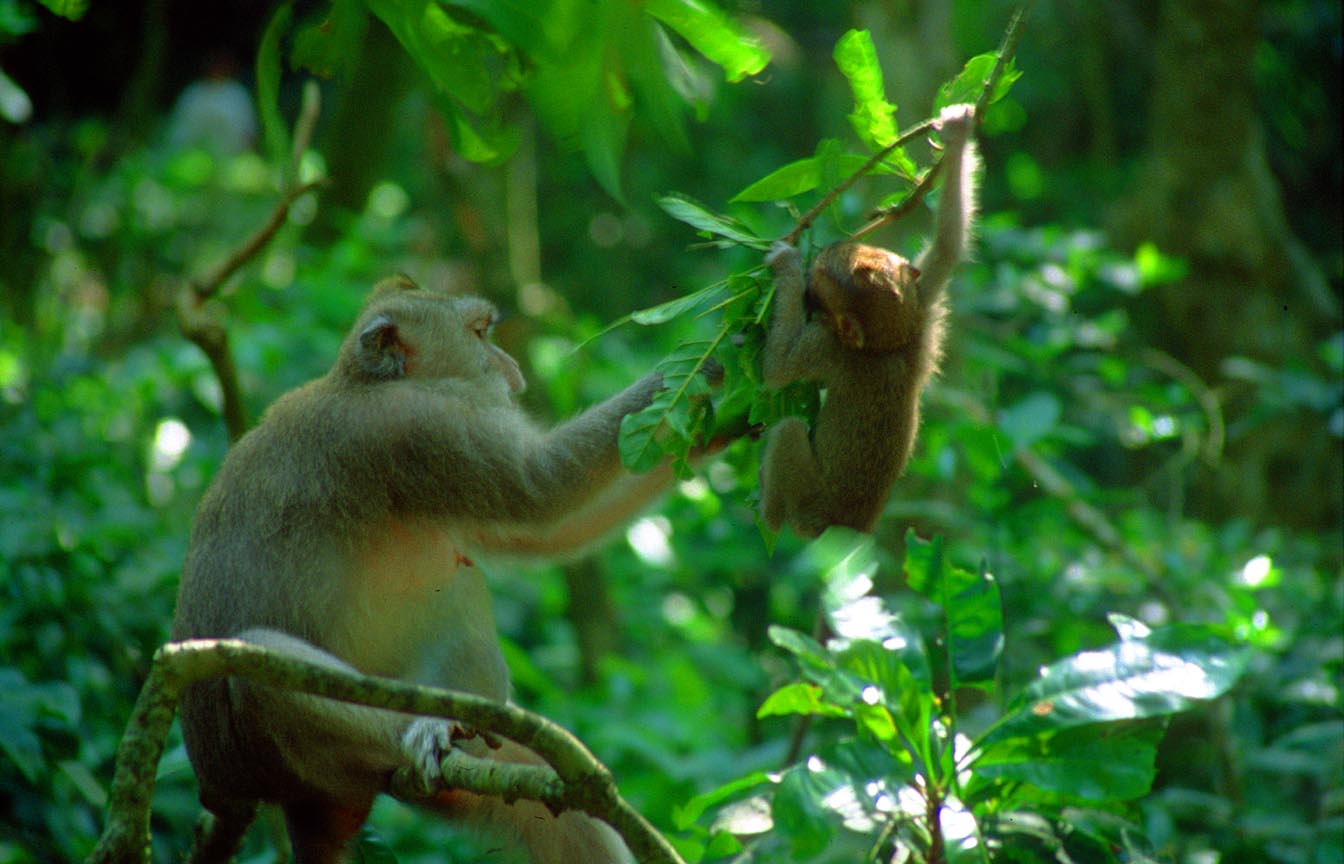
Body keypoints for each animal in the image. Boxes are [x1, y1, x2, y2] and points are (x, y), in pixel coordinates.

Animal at [171, 274, 707, 863]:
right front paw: (730, 349)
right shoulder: (413, 426)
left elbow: (548, 532)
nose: (513, 372)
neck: (361, 383)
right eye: (478, 333)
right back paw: (418, 732)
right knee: (256, 665)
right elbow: (543, 488)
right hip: (261, 757)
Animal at [758, 103, 978, 538]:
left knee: (788, 432)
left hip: (807, 505)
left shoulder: (826, 345)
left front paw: (787, 265)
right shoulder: (921, 309)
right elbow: (949, 243)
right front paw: (957, 134)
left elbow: (777, 370)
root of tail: (847, 526)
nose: (820, 253)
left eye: (818, 283)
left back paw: (766, 515)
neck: (886, 346)